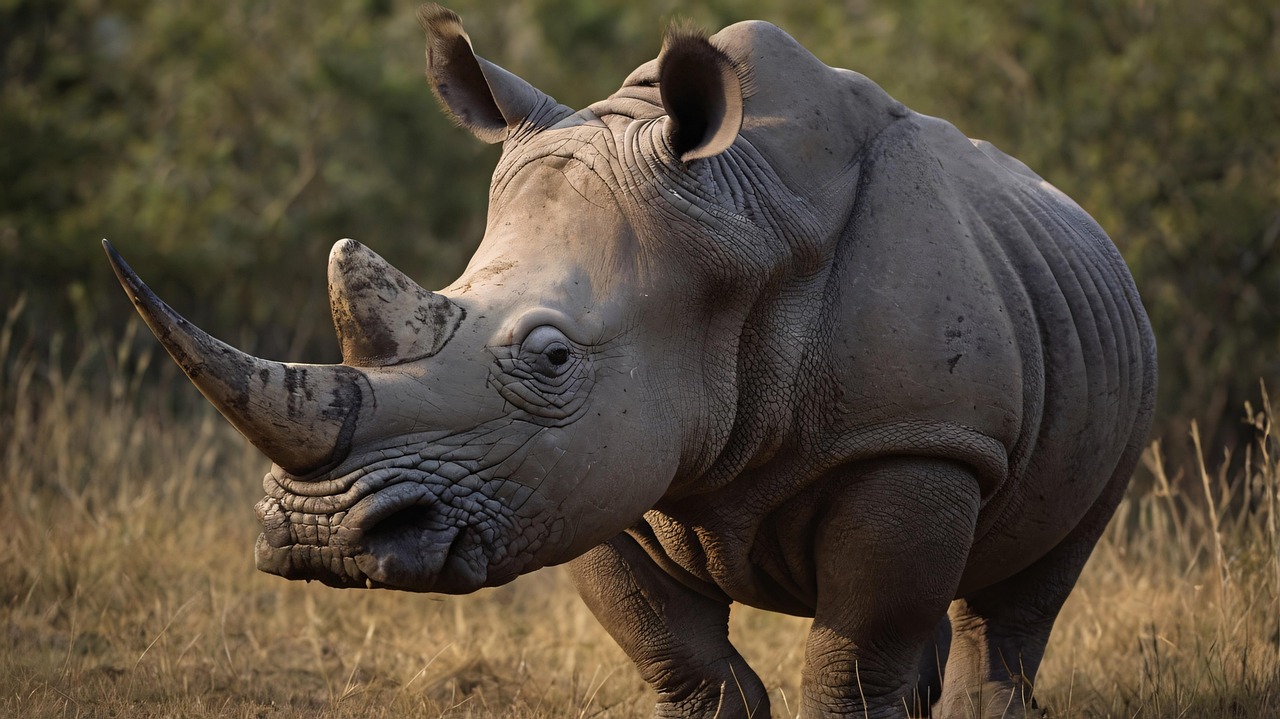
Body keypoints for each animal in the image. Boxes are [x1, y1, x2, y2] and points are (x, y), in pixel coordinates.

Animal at [104, 5, 1156, 718]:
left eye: (552, 356)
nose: (320, 535)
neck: (738, 219)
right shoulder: (584, 465)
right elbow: (683, 660)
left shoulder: (916, 437)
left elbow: (853, 666)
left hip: (1119, 360)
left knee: (1028, 589)